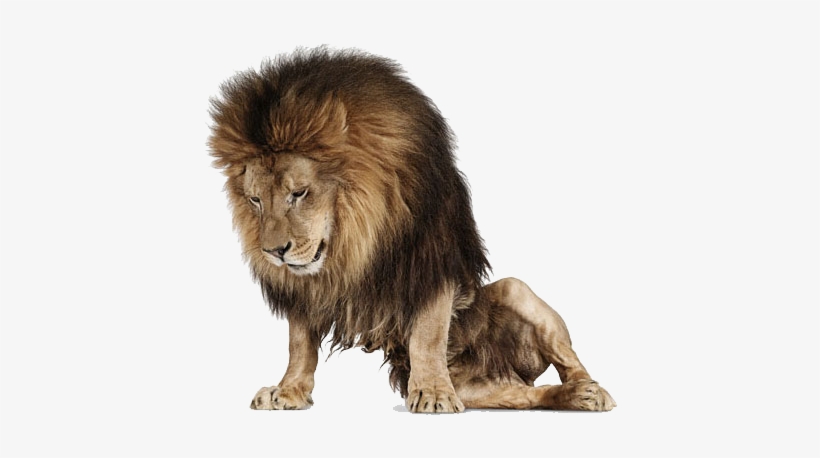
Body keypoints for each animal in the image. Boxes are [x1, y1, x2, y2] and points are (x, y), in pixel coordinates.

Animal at [209, 47, 615, 413]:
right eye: (255, 200)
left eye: (299, 193)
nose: (273, 252)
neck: (354, 236)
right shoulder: (307, 287)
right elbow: (299, 341)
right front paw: (288, 390)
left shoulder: (431, 256)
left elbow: (428, 332)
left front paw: (432, 392)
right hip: (482, 389)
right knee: (527, 395)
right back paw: (569, 396)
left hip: (517, 291)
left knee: (571, 362)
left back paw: (592, 392)